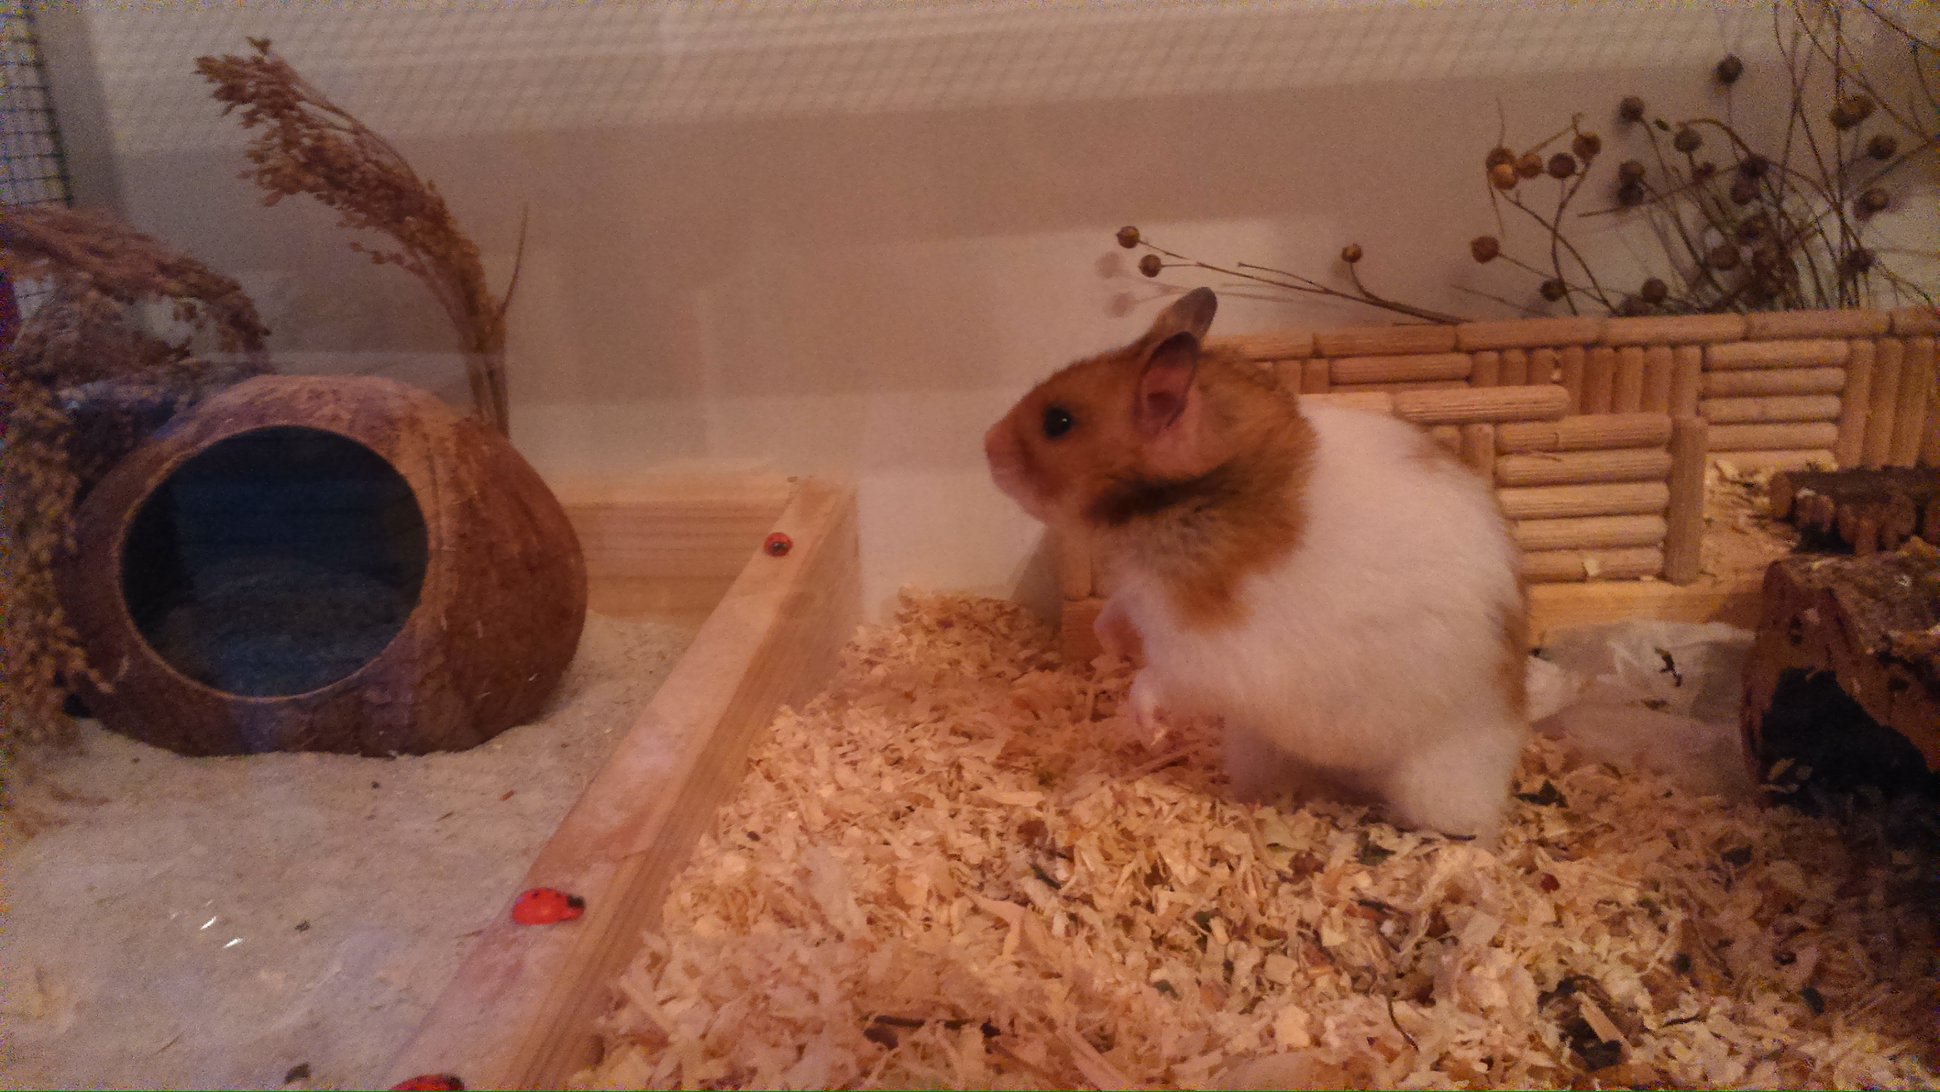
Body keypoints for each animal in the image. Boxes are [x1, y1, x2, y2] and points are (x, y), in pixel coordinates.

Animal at [984, 287, 1528, 839]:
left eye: (1058, 423)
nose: (985, 442)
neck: (1187, 501)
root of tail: (1516, 711)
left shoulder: (1198, 654)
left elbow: (1154, 681)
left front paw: (1146, 729)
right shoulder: (1137, 595)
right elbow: (1112, 611)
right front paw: (1109, 646)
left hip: (1436, 776)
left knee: (1469, 826)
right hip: (1257, 750)